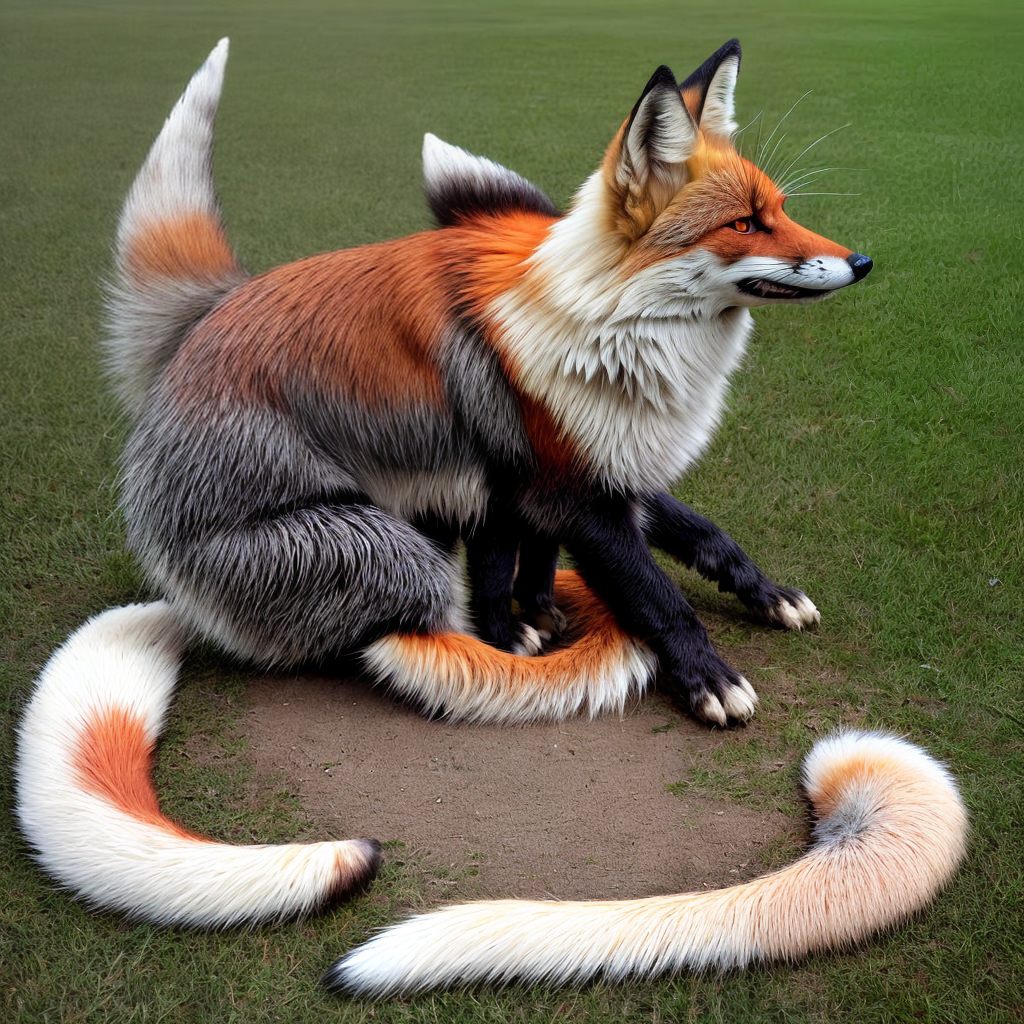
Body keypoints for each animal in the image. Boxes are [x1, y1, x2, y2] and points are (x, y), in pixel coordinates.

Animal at [15, 38, 964, 984]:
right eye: (745, 224)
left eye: (783, 212)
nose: (863, 263)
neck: (610, 330)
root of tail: (196, 334)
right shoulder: (571, 489)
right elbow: (655, 598)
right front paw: (702, 676)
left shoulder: (583, 471)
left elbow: (689, 538)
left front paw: (755, 597)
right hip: (381, 544)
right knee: (396, 623)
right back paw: (489, 664)